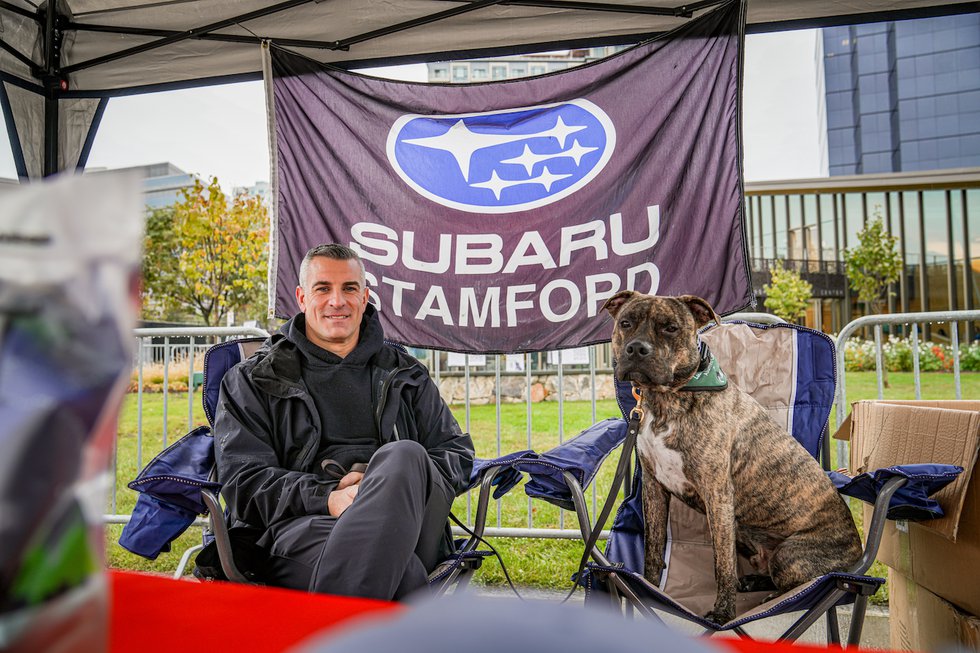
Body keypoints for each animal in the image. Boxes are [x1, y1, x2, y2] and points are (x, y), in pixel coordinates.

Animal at [600, 290, 860, 620]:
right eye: (626, 323)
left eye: (670, 328)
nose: (636, 348)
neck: (668, 397)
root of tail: (858, 549)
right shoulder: (654, 487)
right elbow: (654, 548)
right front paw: (649, 585)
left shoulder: (717, 494)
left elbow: (722, 563)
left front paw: (723, 613)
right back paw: (752, 581)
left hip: (790, 553)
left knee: (792, 579)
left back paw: (768, 595)